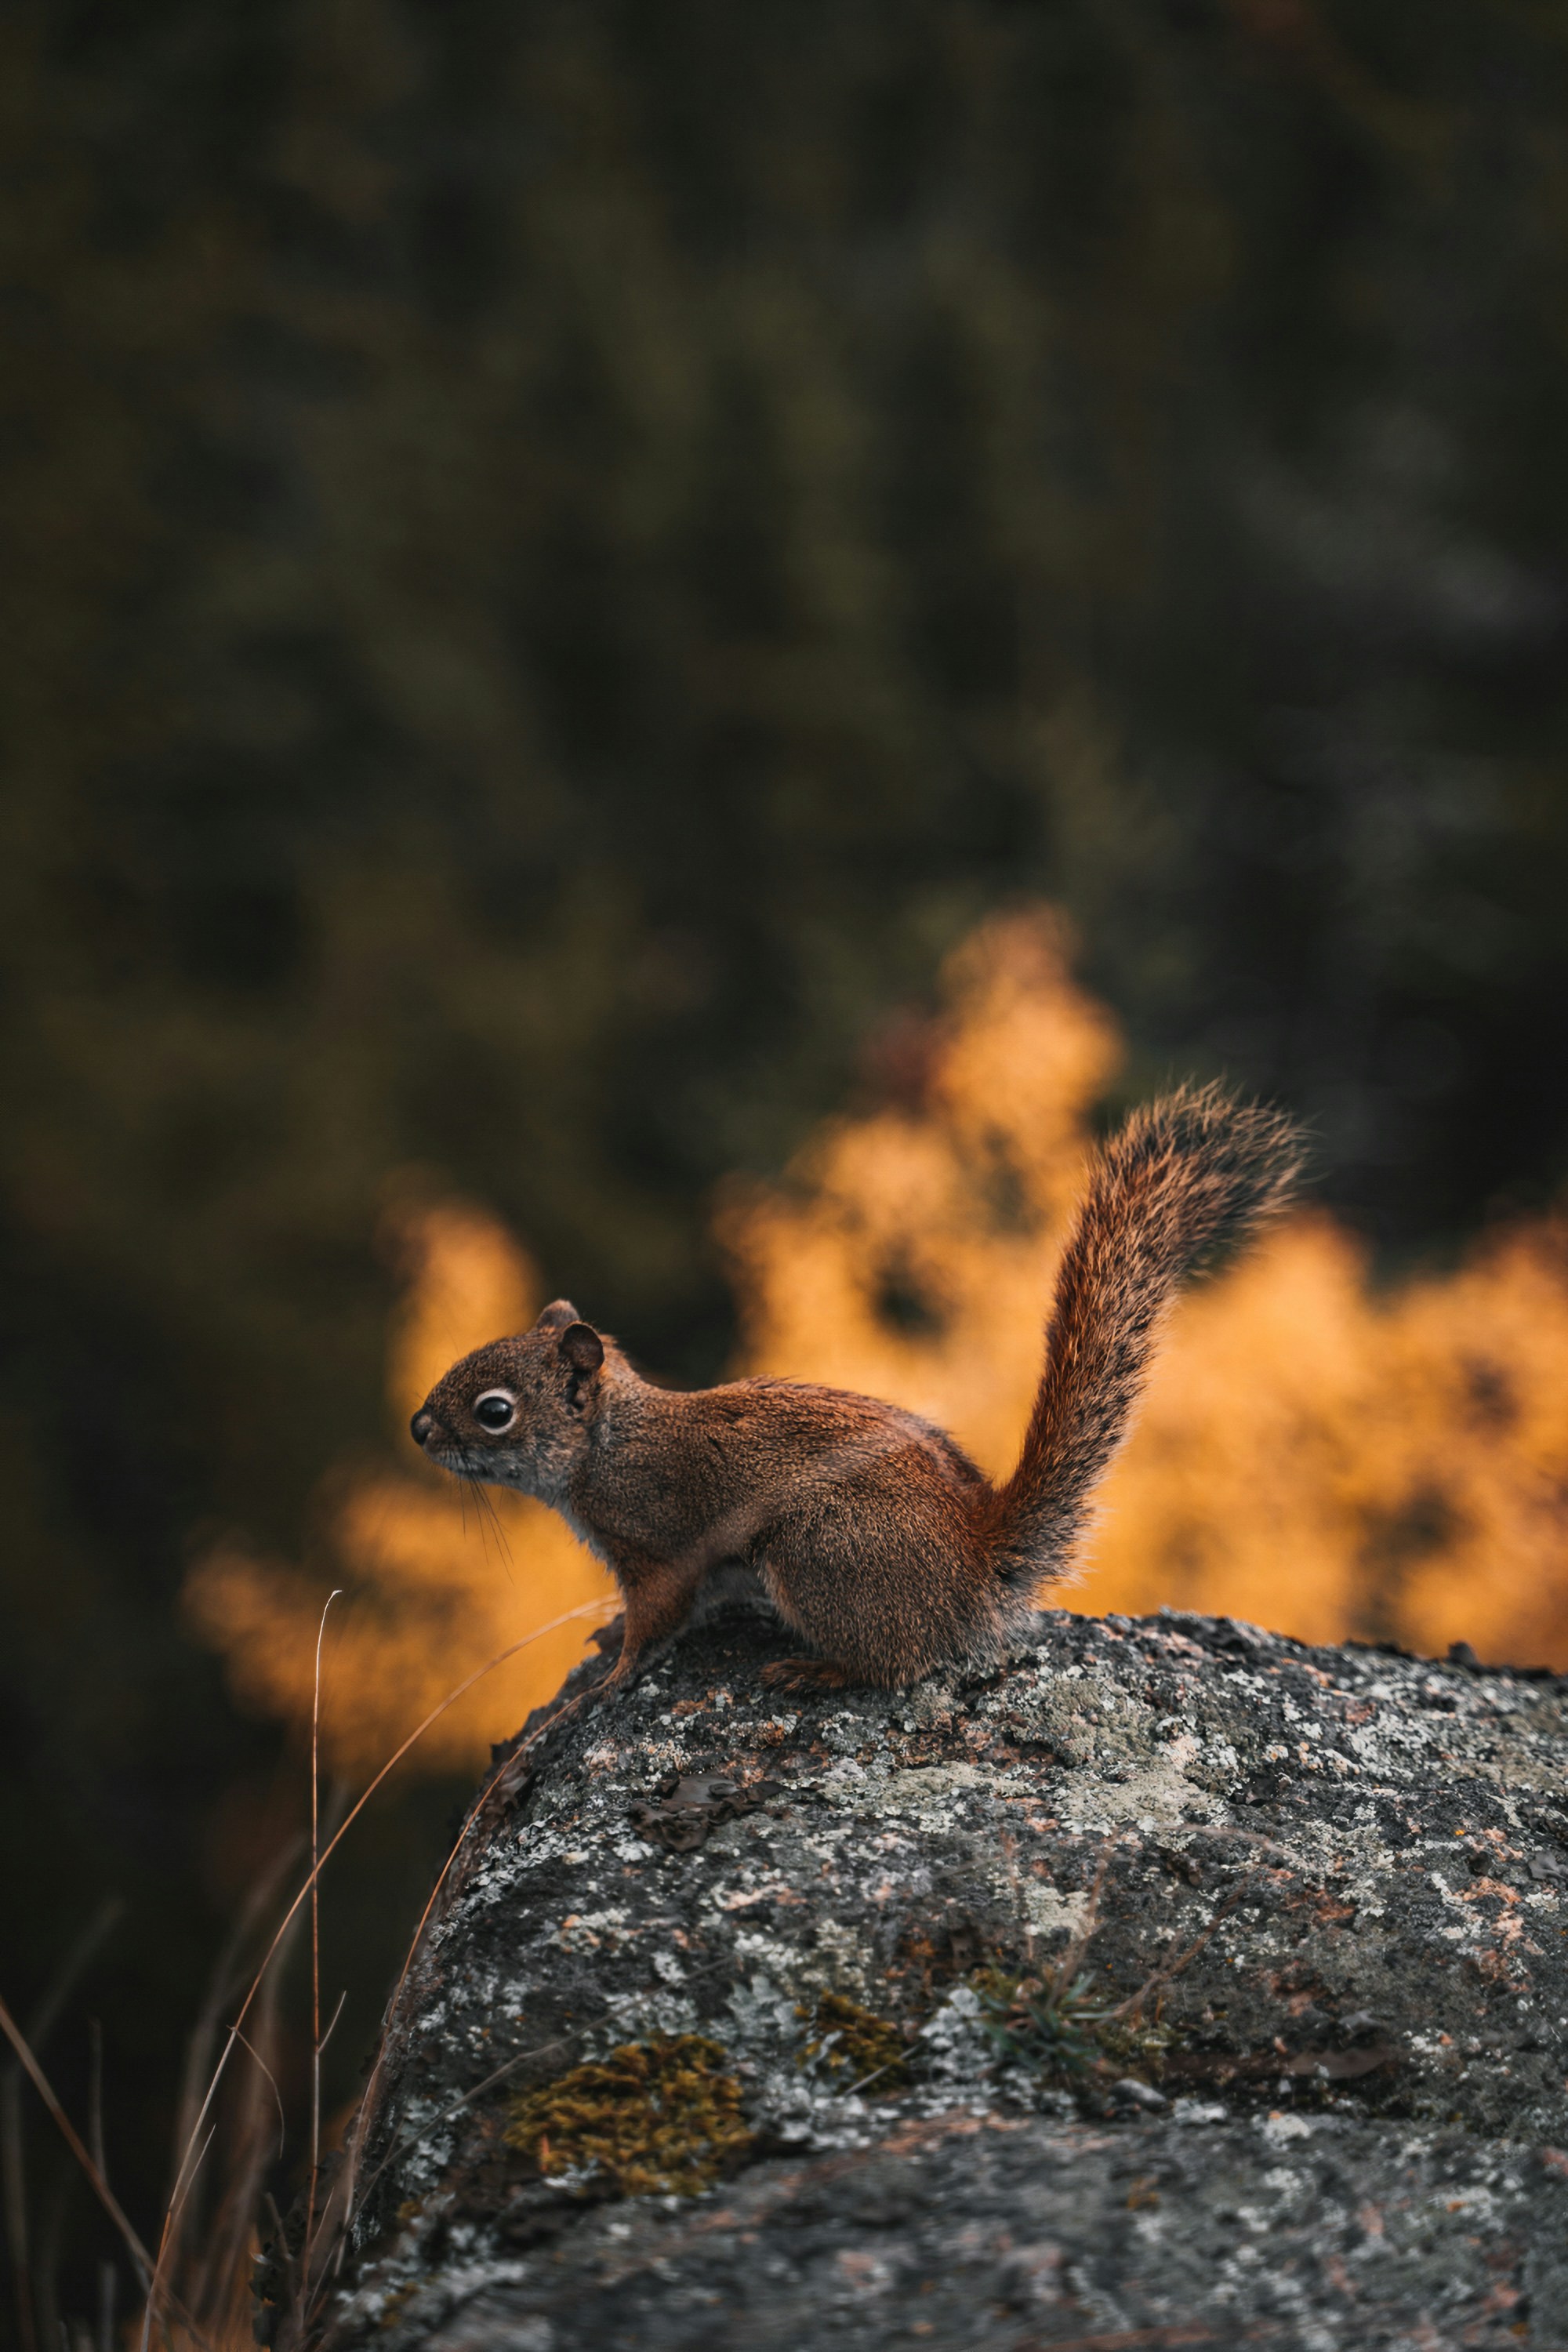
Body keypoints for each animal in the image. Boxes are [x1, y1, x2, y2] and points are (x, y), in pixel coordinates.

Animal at [410, 1083, 1301, 1695]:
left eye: (494, 1413)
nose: (419, 1430)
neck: (605, 1441)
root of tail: (971, 1558)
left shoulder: (655, 1543)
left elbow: (655, 1619)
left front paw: (607, 1680)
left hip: (819, 1556)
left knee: (897, 1664)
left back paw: (821, 1672)